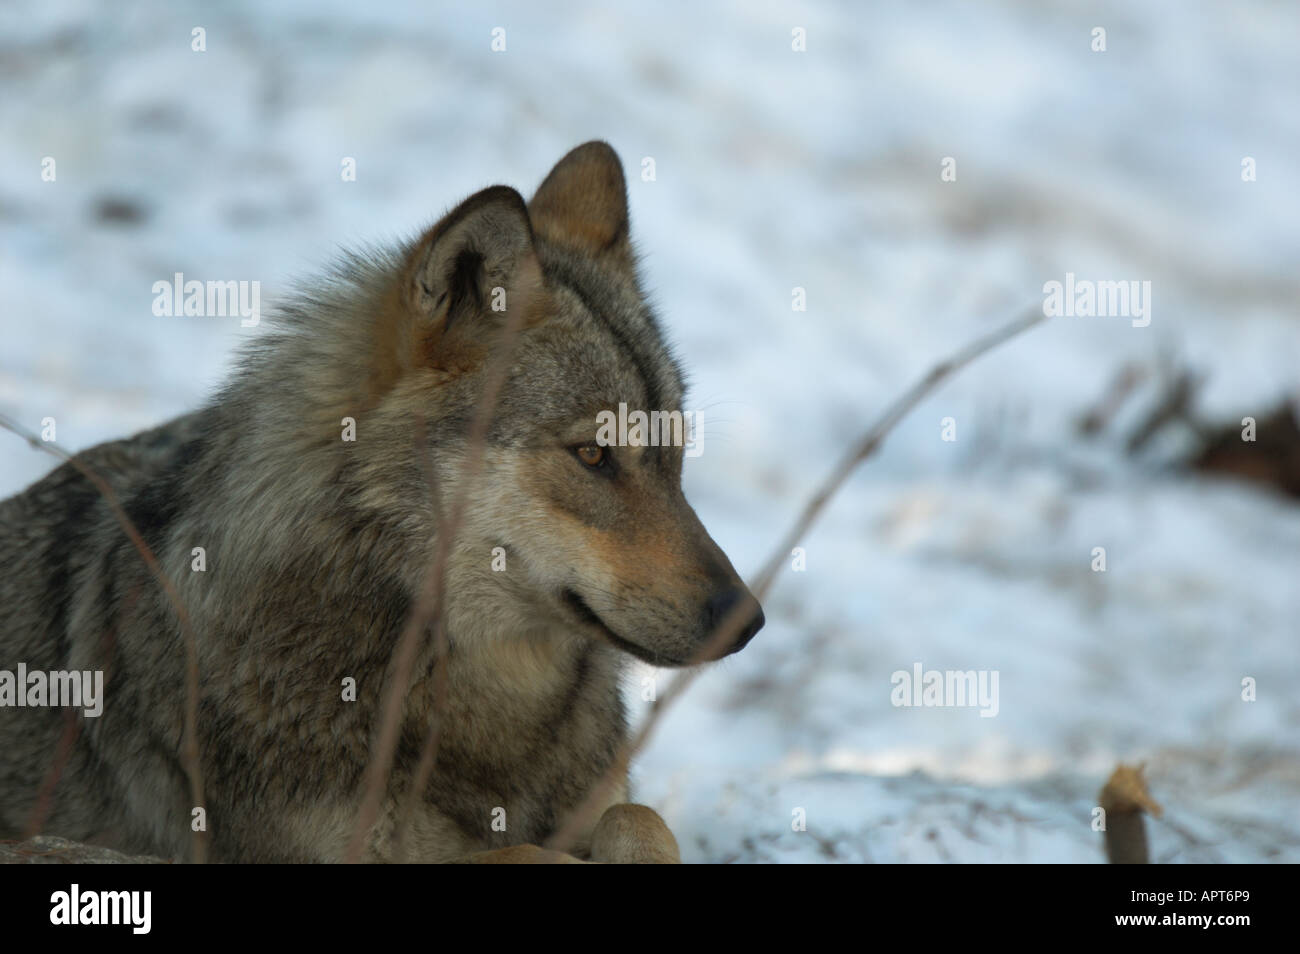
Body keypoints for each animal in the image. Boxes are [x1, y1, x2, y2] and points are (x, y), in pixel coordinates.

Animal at [0, 142, 764, 863]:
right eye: (593, 455)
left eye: (675, 456)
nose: (748, 621)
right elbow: (514, 854)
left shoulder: (602, 801)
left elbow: (639, 818)